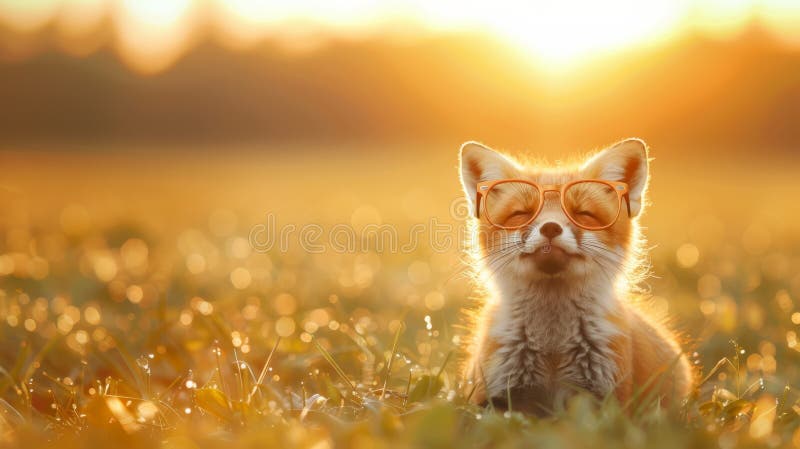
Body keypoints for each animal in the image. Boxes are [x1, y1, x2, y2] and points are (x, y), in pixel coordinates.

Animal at [458, 138, 694, 415]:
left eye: (583, 214)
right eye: (521, 213)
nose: (550, 228)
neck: (552, 344)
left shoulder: (607, 397)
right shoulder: (494, 396)